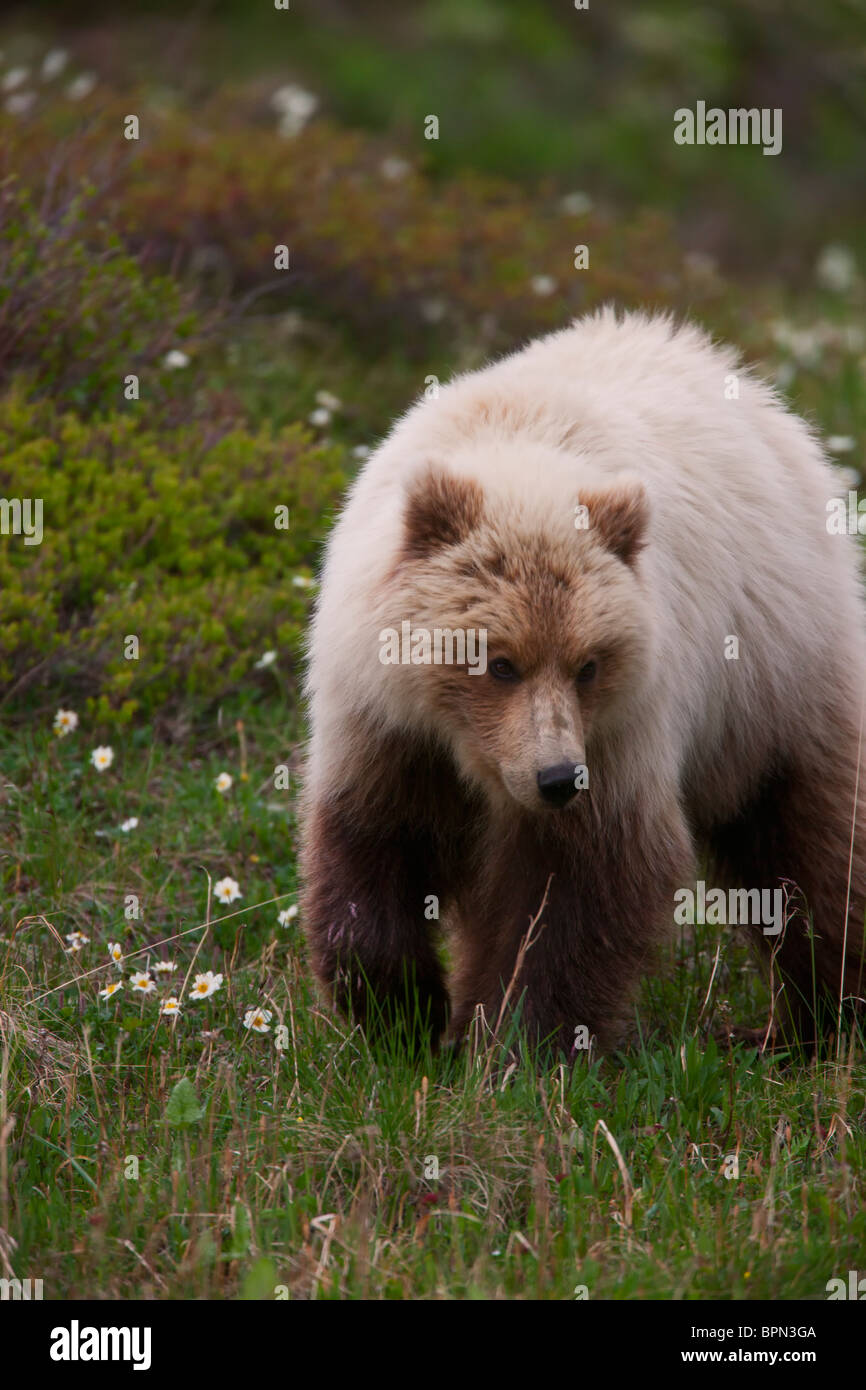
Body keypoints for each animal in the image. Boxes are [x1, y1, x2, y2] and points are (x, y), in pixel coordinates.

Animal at [300, 308, 866, 1057]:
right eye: (497, 662)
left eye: (588, 664)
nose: (557, 778)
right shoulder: (383, 722)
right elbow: (373, 835)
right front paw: (404, 1013)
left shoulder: (624, 728)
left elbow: (585, 879)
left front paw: (519, 1039)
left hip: (779, 682)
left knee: (812, 843)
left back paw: (812, 1022)